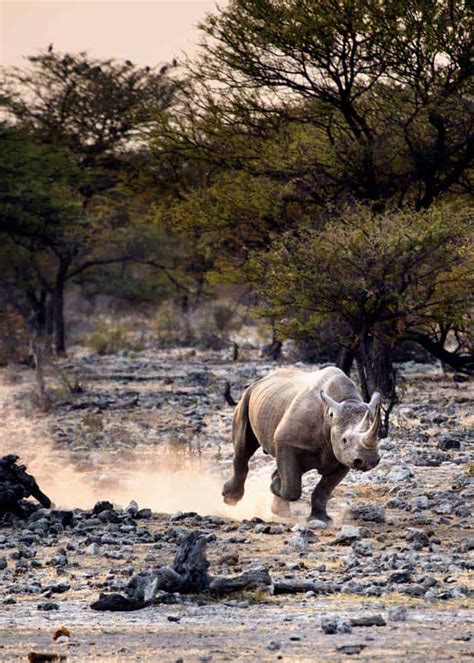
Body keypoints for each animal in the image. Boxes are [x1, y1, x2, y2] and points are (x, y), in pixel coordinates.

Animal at [222, 366, 381, 523]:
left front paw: (321, 519)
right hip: (247, 397)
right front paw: (275, 486)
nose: (369, 461)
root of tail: (260, 380)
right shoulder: (285, 441)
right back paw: (230, 499)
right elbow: (292, 490)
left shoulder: (343, 458)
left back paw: (280, 510)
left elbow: (323, 490)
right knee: (243, 451)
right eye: (344, 440)